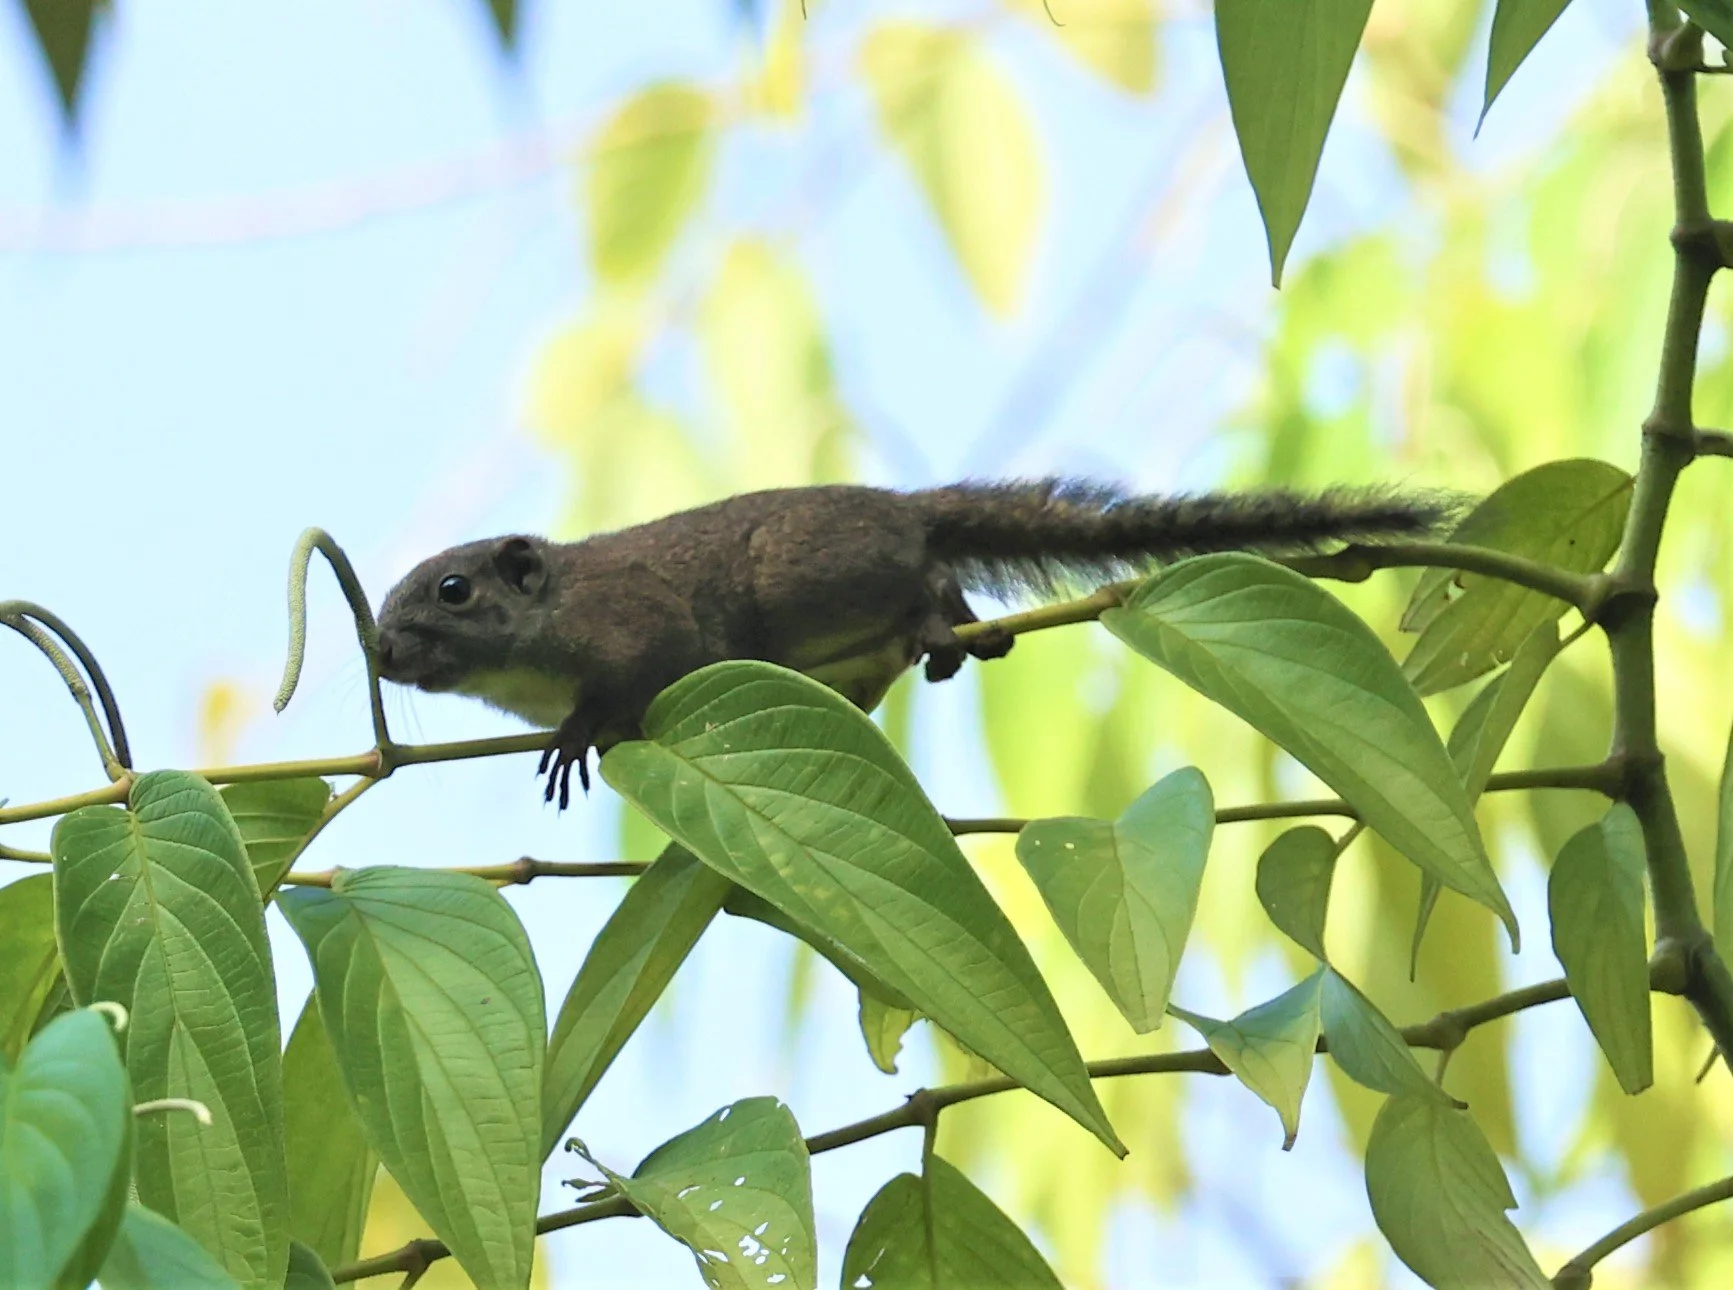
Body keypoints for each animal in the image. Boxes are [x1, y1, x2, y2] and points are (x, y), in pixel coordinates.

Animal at [374, 479, 1456, 807]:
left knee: (926, 574)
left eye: (454, 591)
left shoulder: (635, 620)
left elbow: (625, 681)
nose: (381, 653)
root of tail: (903, 505)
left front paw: (575, 737)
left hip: (806, 578)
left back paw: (939, 613)